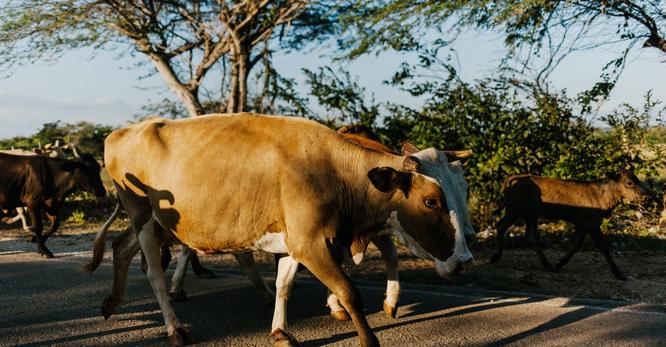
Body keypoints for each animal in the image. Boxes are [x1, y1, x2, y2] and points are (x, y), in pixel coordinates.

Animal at [488, 173, 644, 282]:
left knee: (531, 236)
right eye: (629, 182)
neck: (605, 199)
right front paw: (619, 274)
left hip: (531, 214)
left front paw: (558, 264)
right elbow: (603, 247)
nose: (644, 194)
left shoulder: (582, 225)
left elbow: (575, 246)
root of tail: (509, 180)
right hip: (514, 210)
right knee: (501, 226)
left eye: (637, 179)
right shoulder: (591, 224)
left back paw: (547, 264)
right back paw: (495, 256)